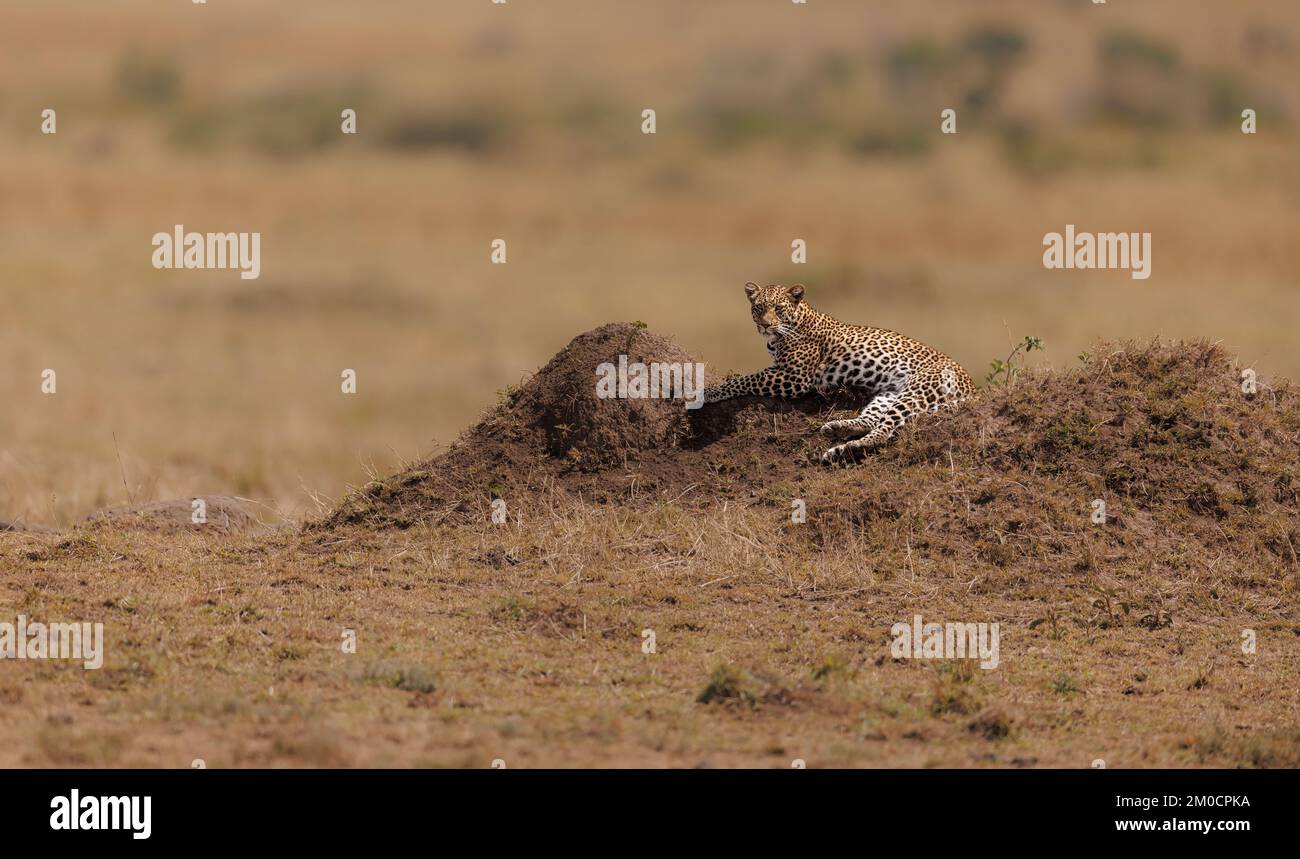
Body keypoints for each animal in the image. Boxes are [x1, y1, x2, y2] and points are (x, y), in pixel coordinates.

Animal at [701, 281, 975, 464]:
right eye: (758, 308)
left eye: (778, 308)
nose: (765, 324)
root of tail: (972, 387)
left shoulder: (793, 377)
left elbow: (746, 378)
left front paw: (708, 392)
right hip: (889, 393)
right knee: (872, 420)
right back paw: (837, 434)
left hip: (917, 391)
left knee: (885, 430)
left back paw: (844, 448)